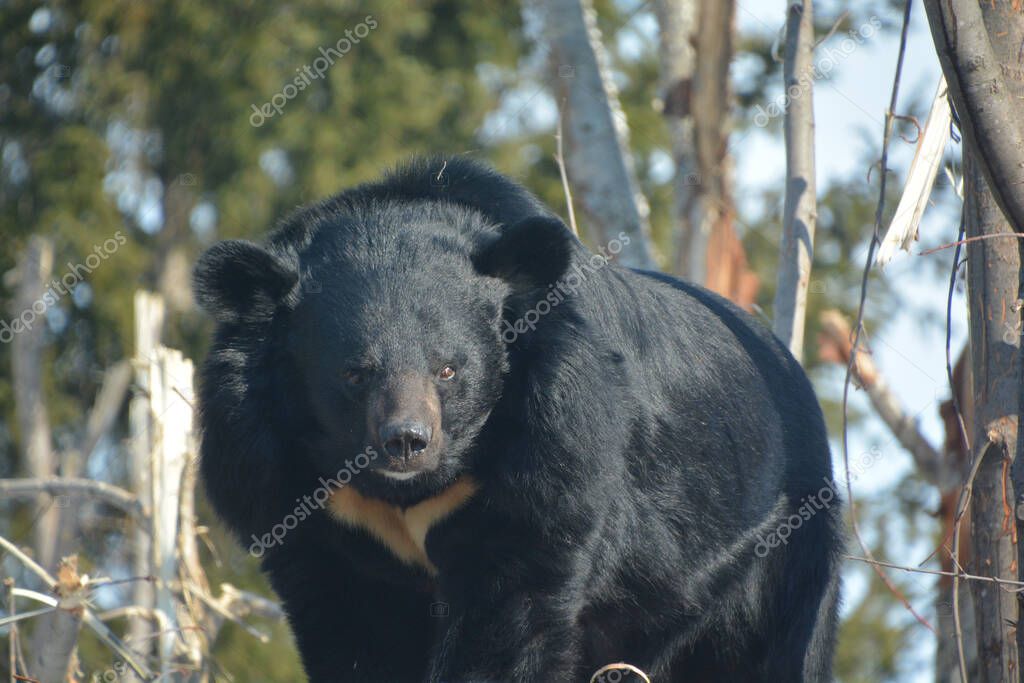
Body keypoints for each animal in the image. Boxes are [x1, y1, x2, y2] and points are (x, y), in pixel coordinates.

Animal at [193, 155, 843, 683]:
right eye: (354, 374)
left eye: (448, 369)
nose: (406, 442)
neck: (407, 492)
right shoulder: (292, 490)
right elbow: (350, 624)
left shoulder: (555, 446)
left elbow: (512, 609)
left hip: (770, 553)